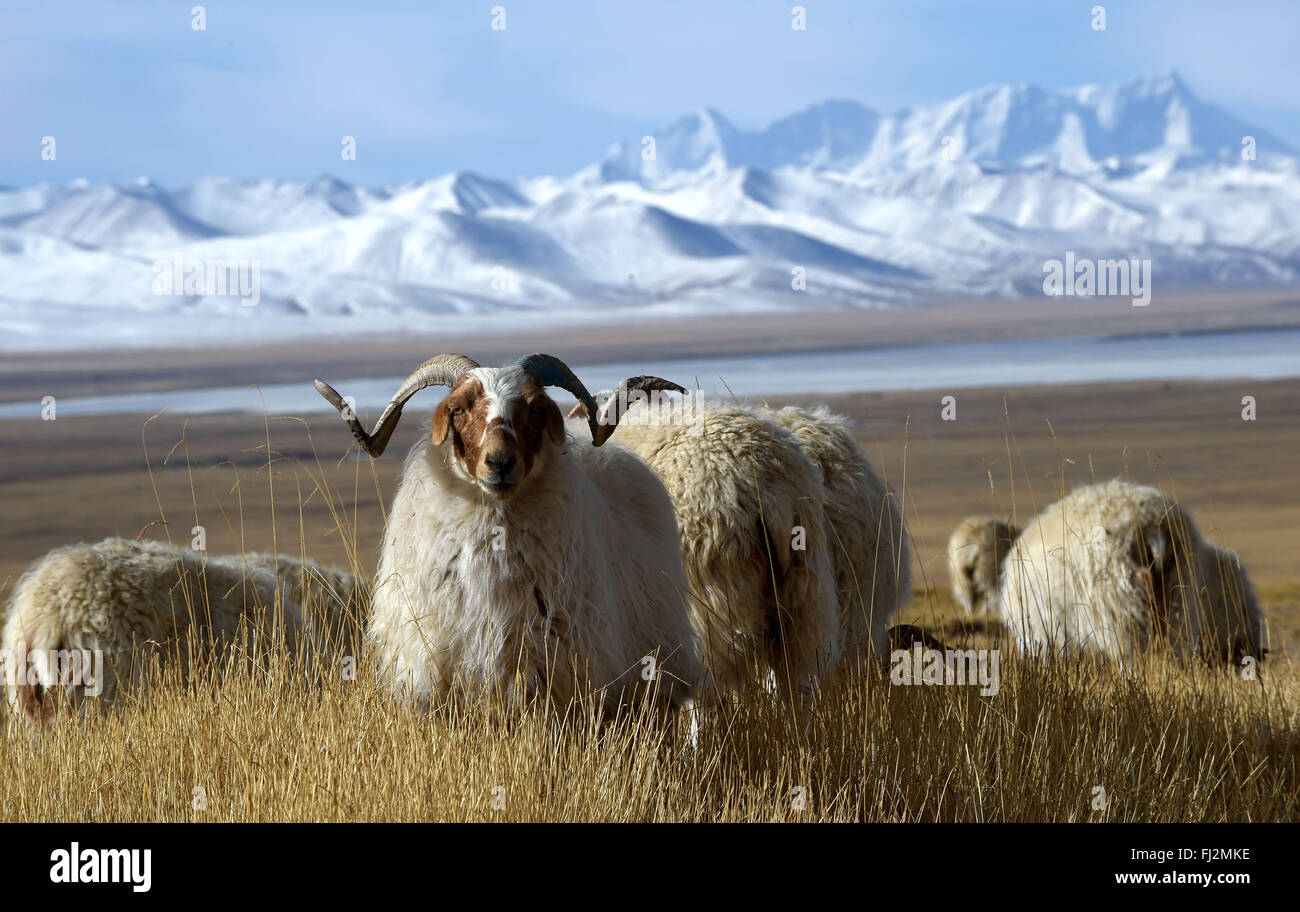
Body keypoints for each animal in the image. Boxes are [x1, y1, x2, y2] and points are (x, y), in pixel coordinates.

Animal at [998, 479, 1265, 666]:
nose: (1259, 652)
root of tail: (1152, 523)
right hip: (1179, 598)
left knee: (1130, 656)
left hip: (1119, 603)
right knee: (1176, 652)